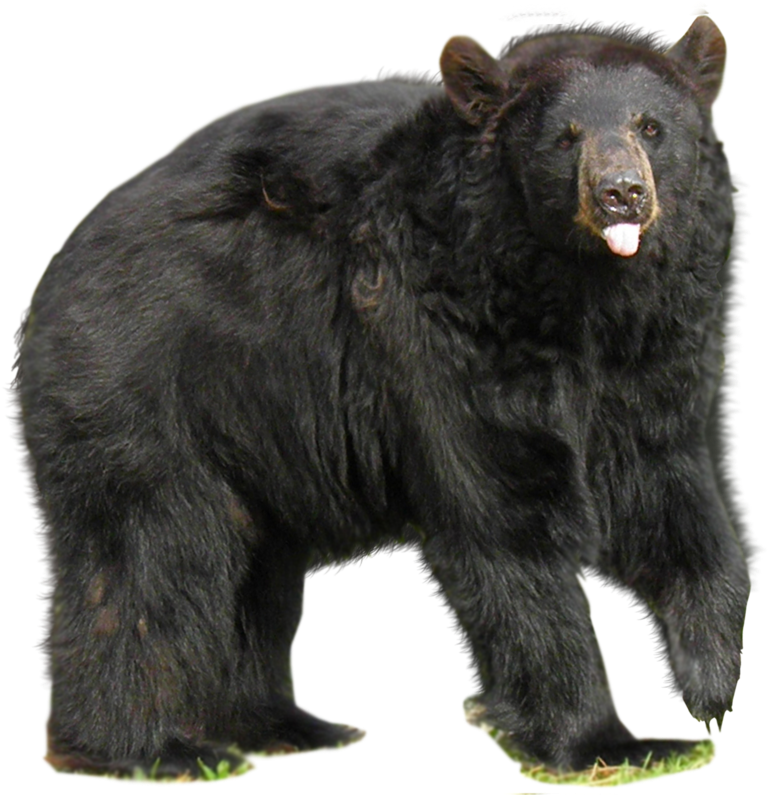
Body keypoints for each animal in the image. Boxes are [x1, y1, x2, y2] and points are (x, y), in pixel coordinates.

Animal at [11, 17, 750, 776]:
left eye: (652, 127)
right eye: (565, 137)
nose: (621, 193)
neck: (579, 293)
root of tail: (61, 266)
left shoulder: (649, 360)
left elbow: (668, 491)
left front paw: (709, 679)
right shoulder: (447, 333)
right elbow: (509, 514)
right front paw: (604, 742)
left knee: (253, 571)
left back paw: (282, 725)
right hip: (145, 382)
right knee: (146, 557)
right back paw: (149, 750)